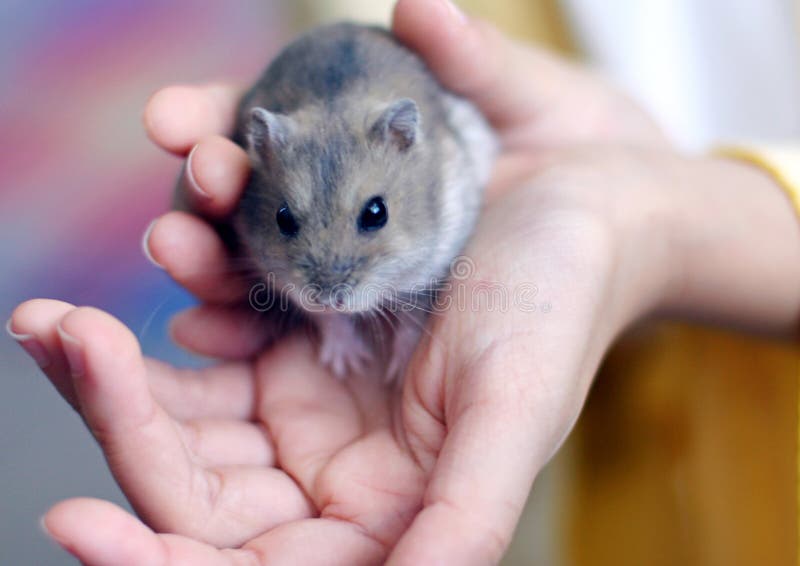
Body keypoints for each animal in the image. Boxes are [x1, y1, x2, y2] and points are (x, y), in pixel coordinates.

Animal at [221, 23, 496, 380]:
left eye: (377, 213)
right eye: (282, 218)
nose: (328, 298)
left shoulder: (430, 266)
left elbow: (411, 317)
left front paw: (398, 370)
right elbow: (328, 320)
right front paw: (348, 364)